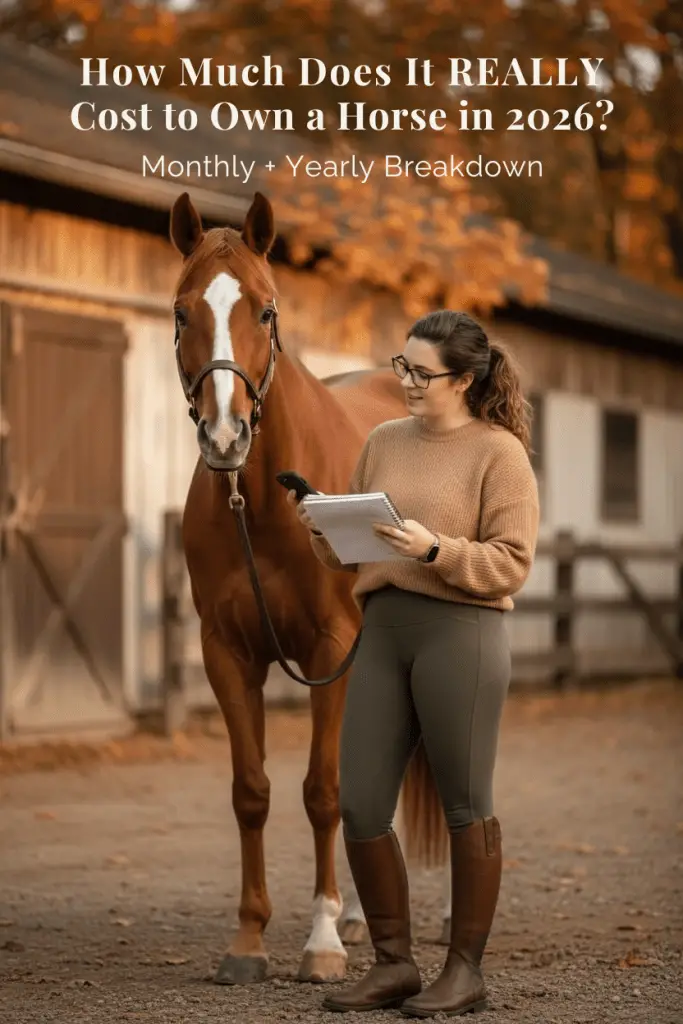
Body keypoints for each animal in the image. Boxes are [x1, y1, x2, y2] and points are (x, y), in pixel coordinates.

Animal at [169, 189, 449, 986]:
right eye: (182, 313)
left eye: (265, 310)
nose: (225, 435)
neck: (261, 504)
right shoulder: (228, 654)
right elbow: (253, 791)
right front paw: (248, 941)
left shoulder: (329, 649)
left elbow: (321, 794)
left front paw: (321, 941)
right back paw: (361, 914)